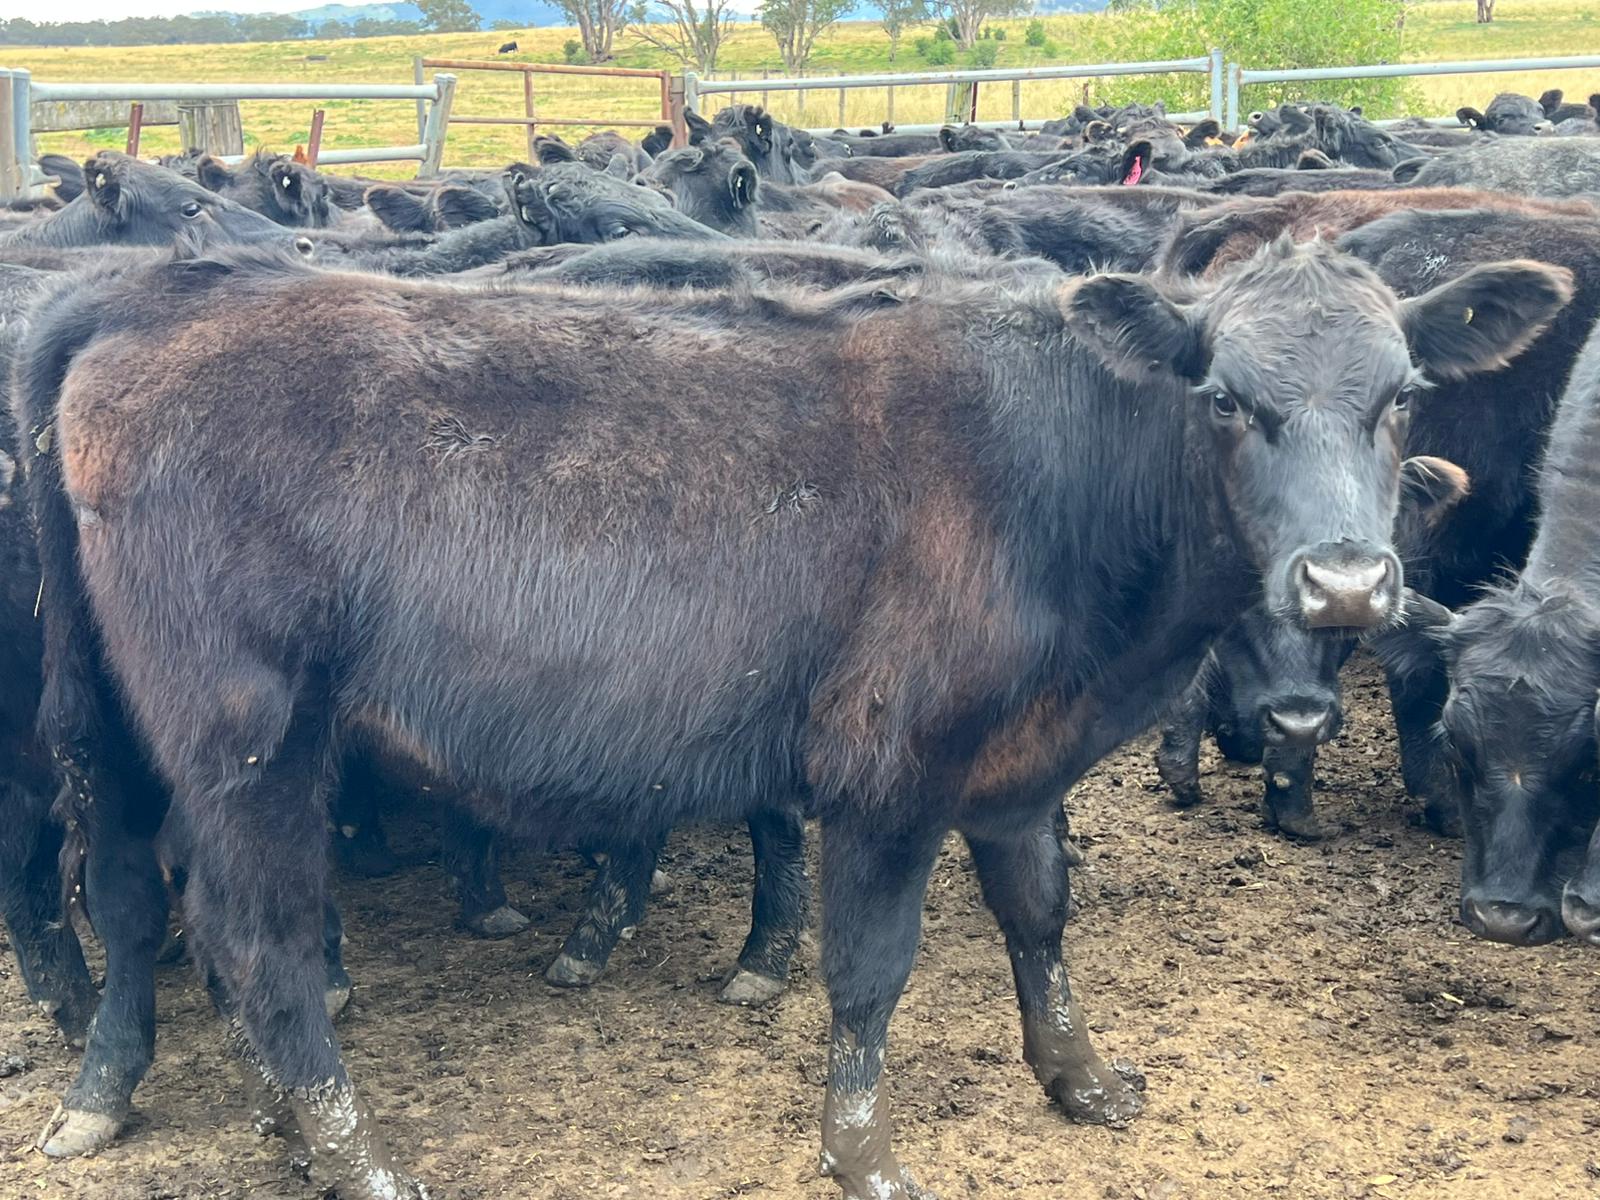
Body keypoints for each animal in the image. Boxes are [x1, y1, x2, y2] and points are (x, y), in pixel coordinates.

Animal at [13, 231, 1569, 1197]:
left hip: (123, 738)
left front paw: (1076, 1079)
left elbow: (1040, 919)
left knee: (147, 901)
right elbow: (869, 968)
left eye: (1402, 394)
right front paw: (863, 1153)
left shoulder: (1019, 768)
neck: (1050, 477)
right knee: (260, 941)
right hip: (251, 737)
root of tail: (157, 290)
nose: (1347, 580)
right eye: (1229, 398)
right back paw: (353, 1155)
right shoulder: (888, 768)